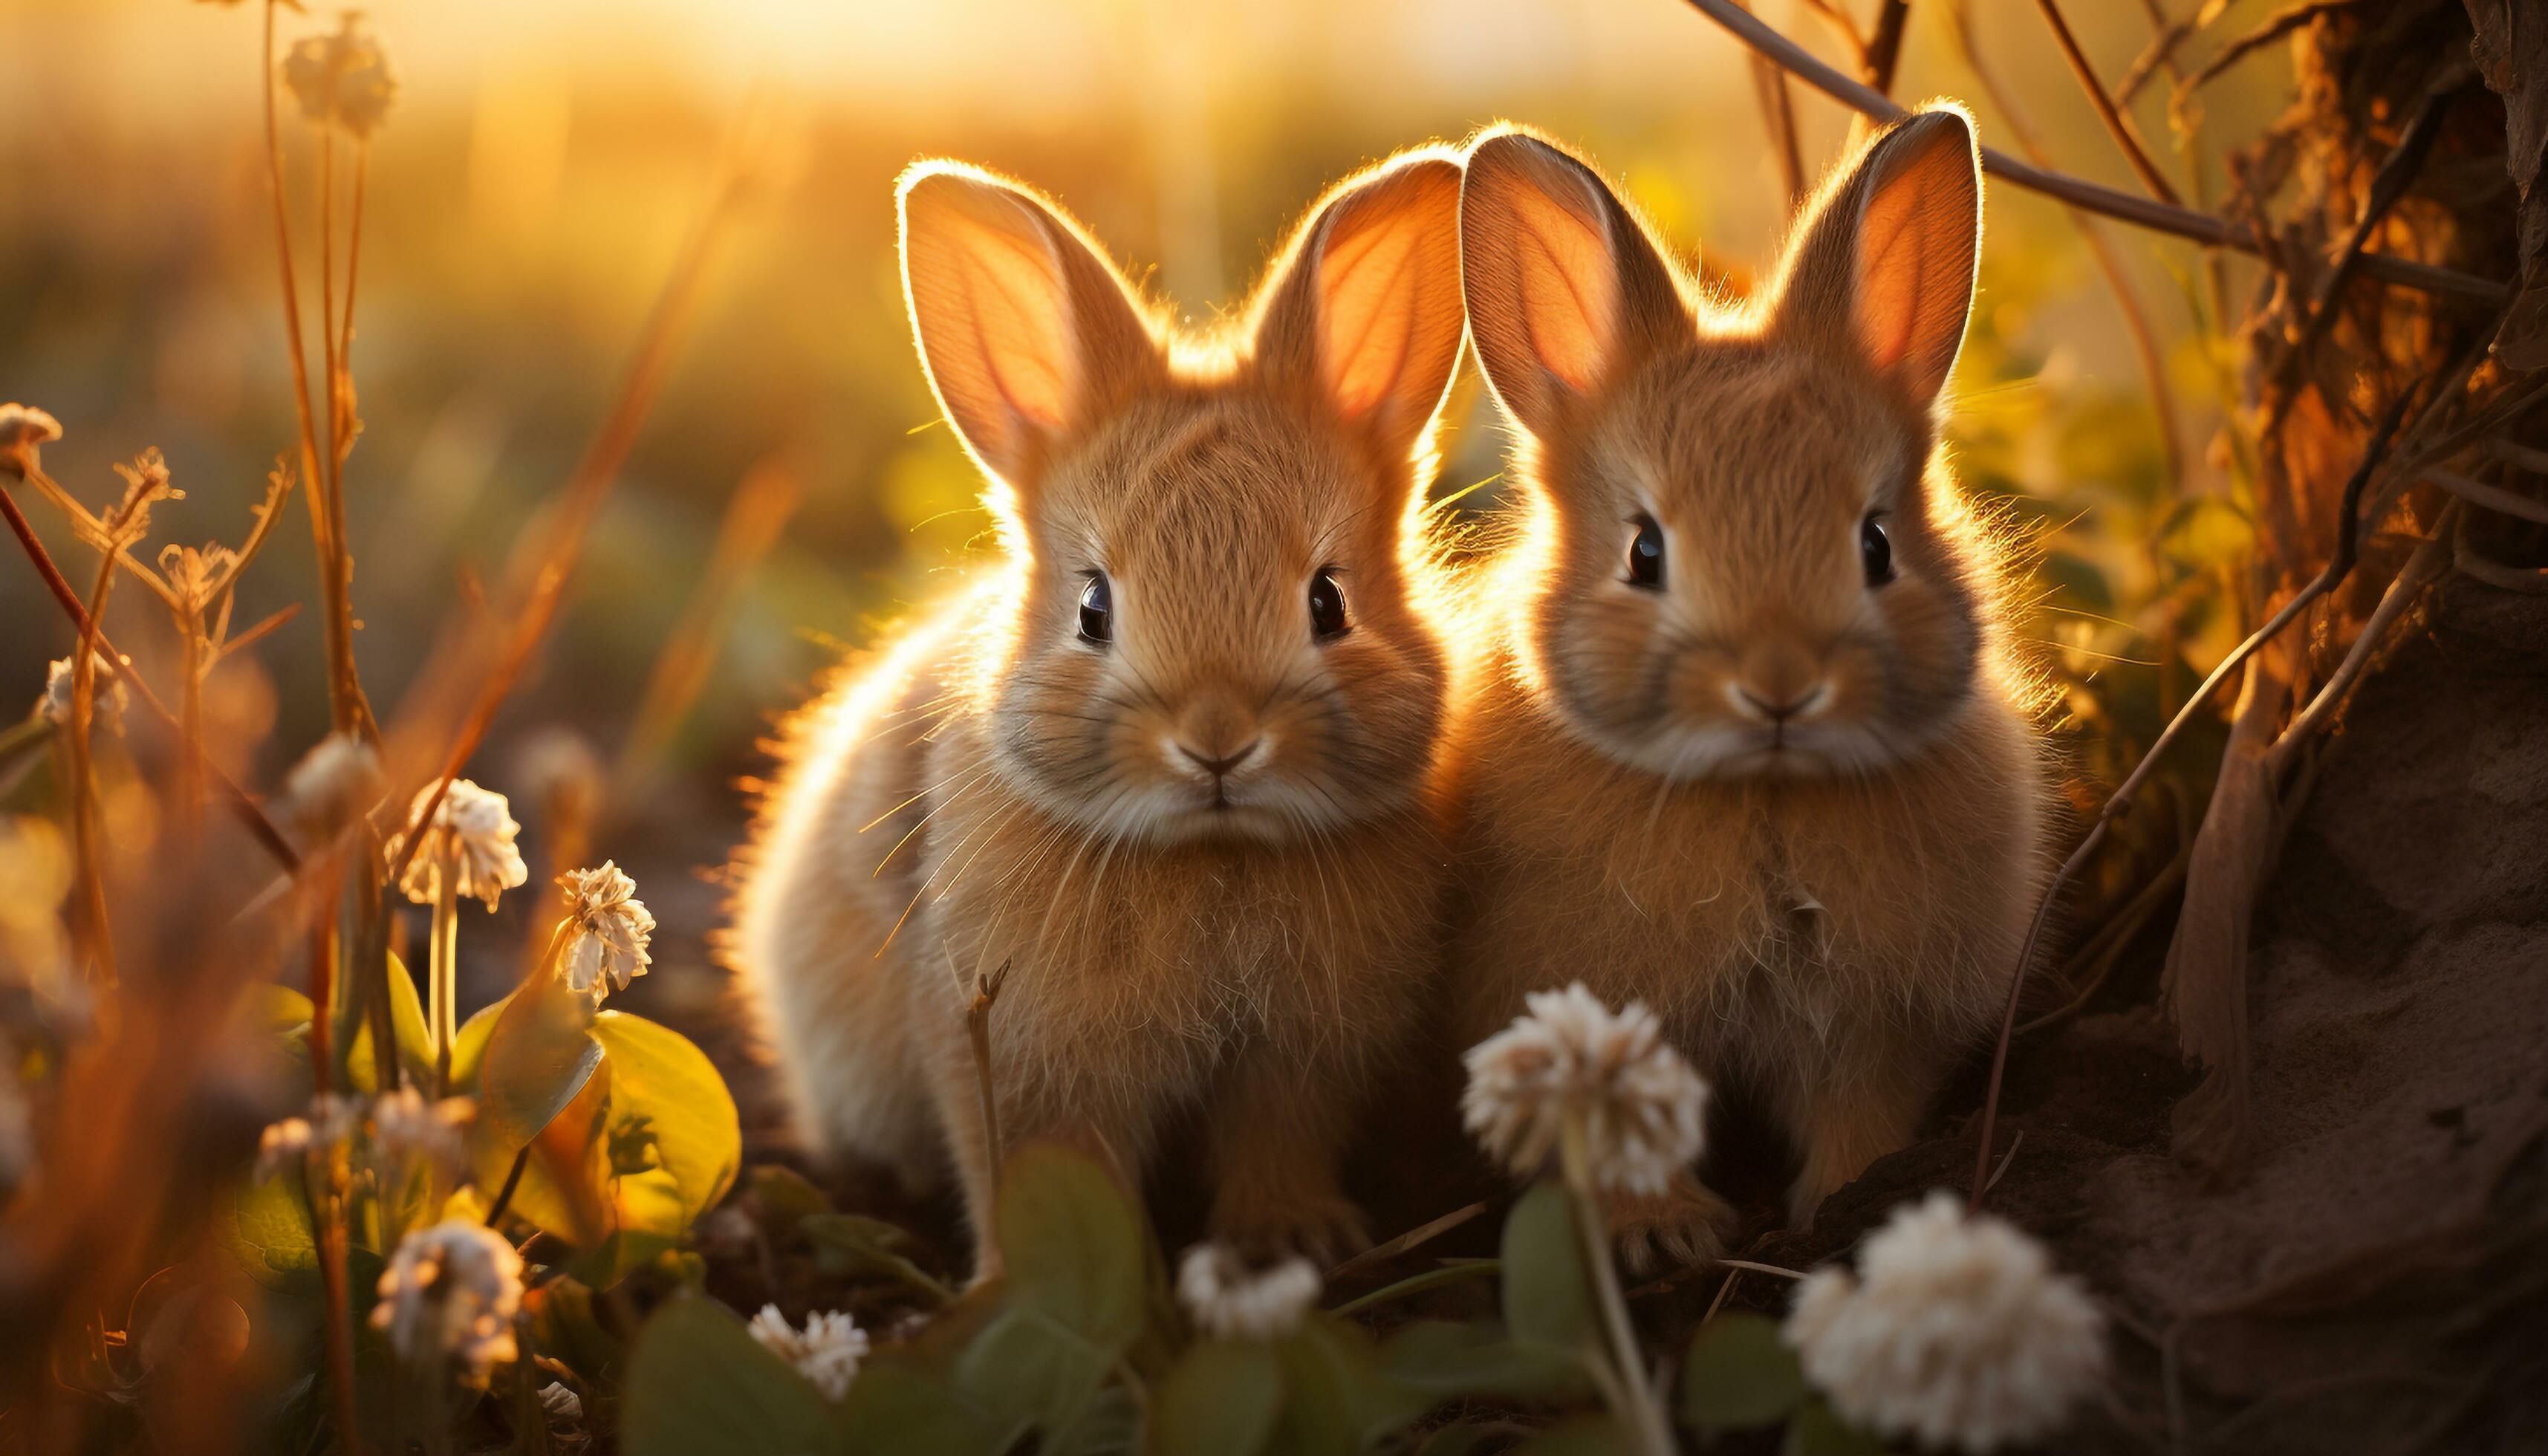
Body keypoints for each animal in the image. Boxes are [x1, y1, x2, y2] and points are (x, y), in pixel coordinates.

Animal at [731, 147, 1471, 1277]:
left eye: (1328, 602)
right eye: (1092, 608)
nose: (1216, 744)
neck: (1213, 853)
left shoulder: (1298, 1060)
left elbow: (1278, 1141)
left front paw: (1291, 1238)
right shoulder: (1019, 1052)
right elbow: (1035, 1166)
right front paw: (1039, 1277)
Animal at [1444, 107, 2053, 1270]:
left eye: (1875, 544)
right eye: (1644, 553)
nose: (1779, 687)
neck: (1759, 790)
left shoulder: (1878, 1018)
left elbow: (1860, 1107)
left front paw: (1853, 1200)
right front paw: (1661, 1233)